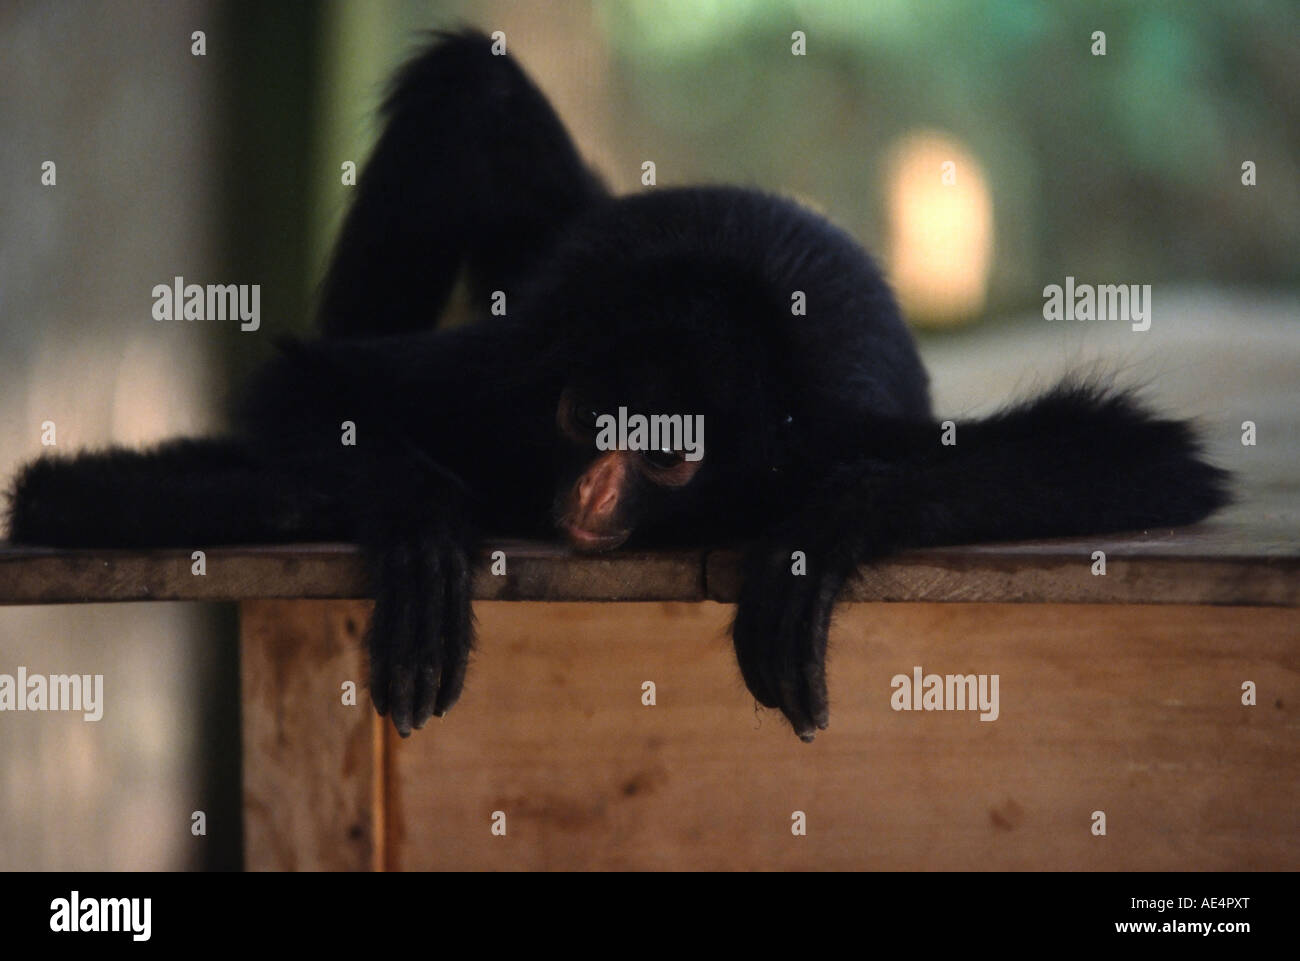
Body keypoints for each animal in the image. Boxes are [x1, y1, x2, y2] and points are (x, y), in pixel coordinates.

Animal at [5, 30, 1229, 741]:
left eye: (667, 458)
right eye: (586, 422)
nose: (593, 496)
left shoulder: (823, 426)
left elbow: (1146, 459)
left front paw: (818, 537)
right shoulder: (512, 372)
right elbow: (305, 390)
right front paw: (421, 527)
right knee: (472, 81)